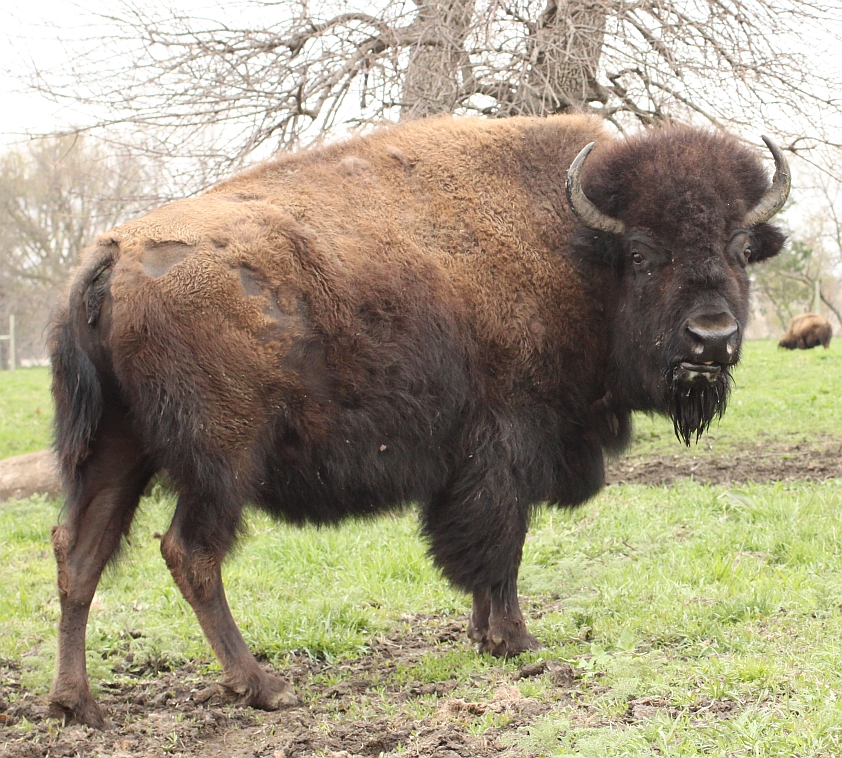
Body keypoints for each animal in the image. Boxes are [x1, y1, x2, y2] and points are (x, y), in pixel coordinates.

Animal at [47, 115, 789, 727]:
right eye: (640, 253)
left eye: (740, 248)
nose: (711, 338)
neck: (576, 248)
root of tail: (111, 255)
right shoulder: (506, 447)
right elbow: (500, 546)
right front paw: (514, 641)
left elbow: (487, 550)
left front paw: (485, 636)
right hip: (220, 460)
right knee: (190, 553)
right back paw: (263, 686)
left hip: (116, 448)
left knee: (78, 552)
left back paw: (78, 705)